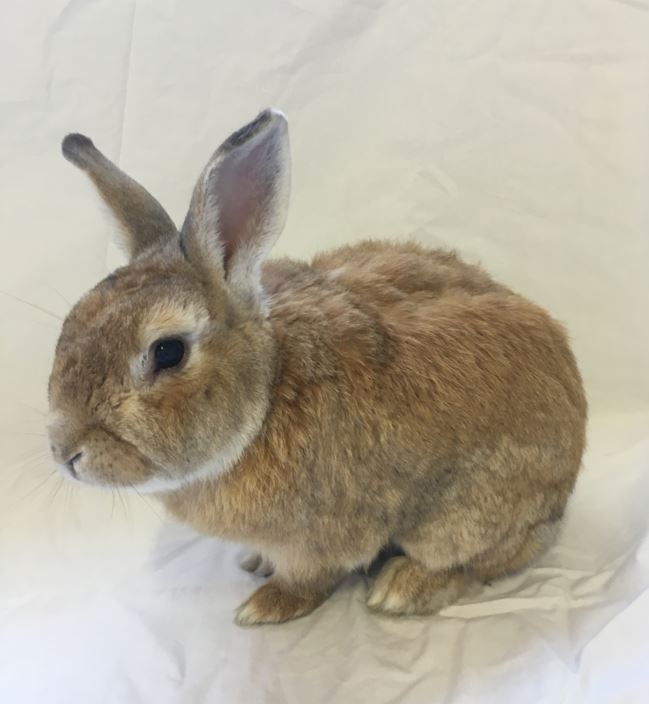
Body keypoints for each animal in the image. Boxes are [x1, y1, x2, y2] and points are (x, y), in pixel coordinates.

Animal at [47, 109, 587, 626]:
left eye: (167, 352)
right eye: (73, 319)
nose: (64, 452)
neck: (267, 393)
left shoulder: (323, 537)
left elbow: (310, 578)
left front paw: (265, 606)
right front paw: (254, 563)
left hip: (467, 515)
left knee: (477, 561)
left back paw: (402, 588)